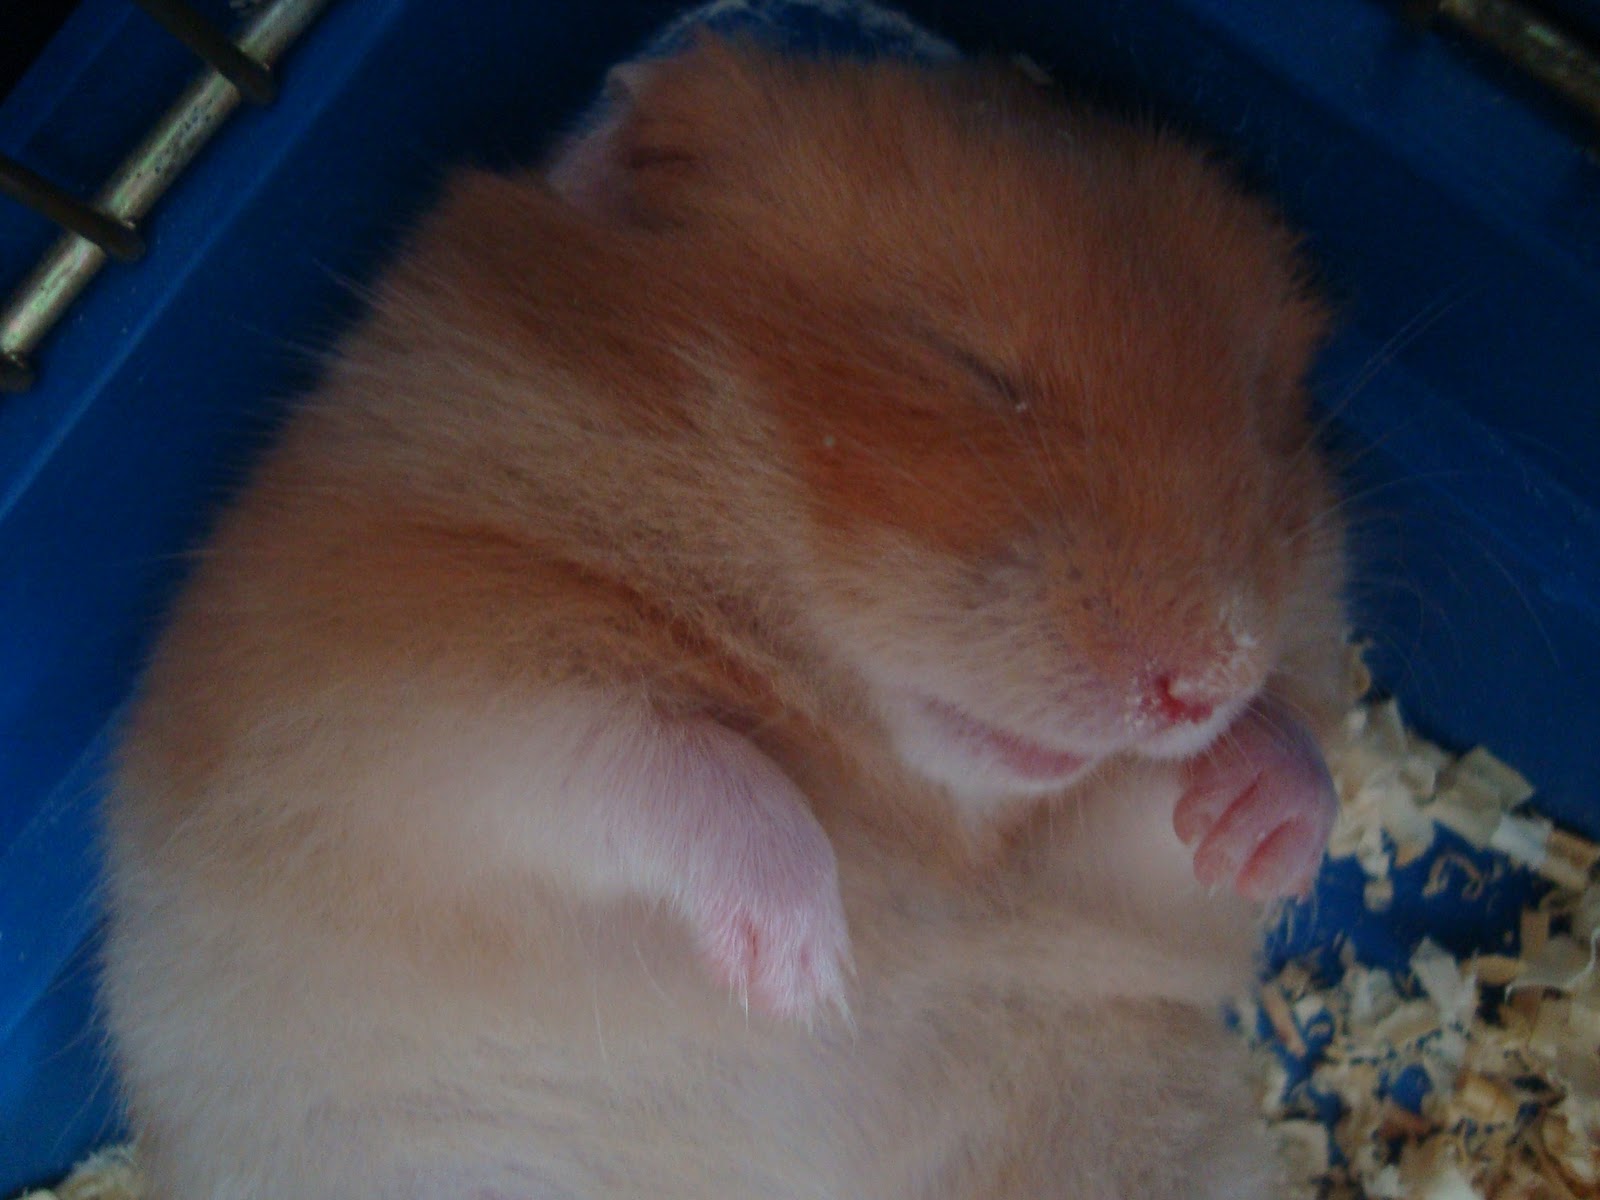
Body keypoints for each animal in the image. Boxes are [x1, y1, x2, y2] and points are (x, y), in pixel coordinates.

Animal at [102, 37, 1349, 1200]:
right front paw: (805, 974)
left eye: (1260, 414)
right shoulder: (401, 702)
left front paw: (1250, 816)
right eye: (965, 365)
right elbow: (657, 760)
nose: (1204, 678)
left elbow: (1198, 820)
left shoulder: (1108, 886)